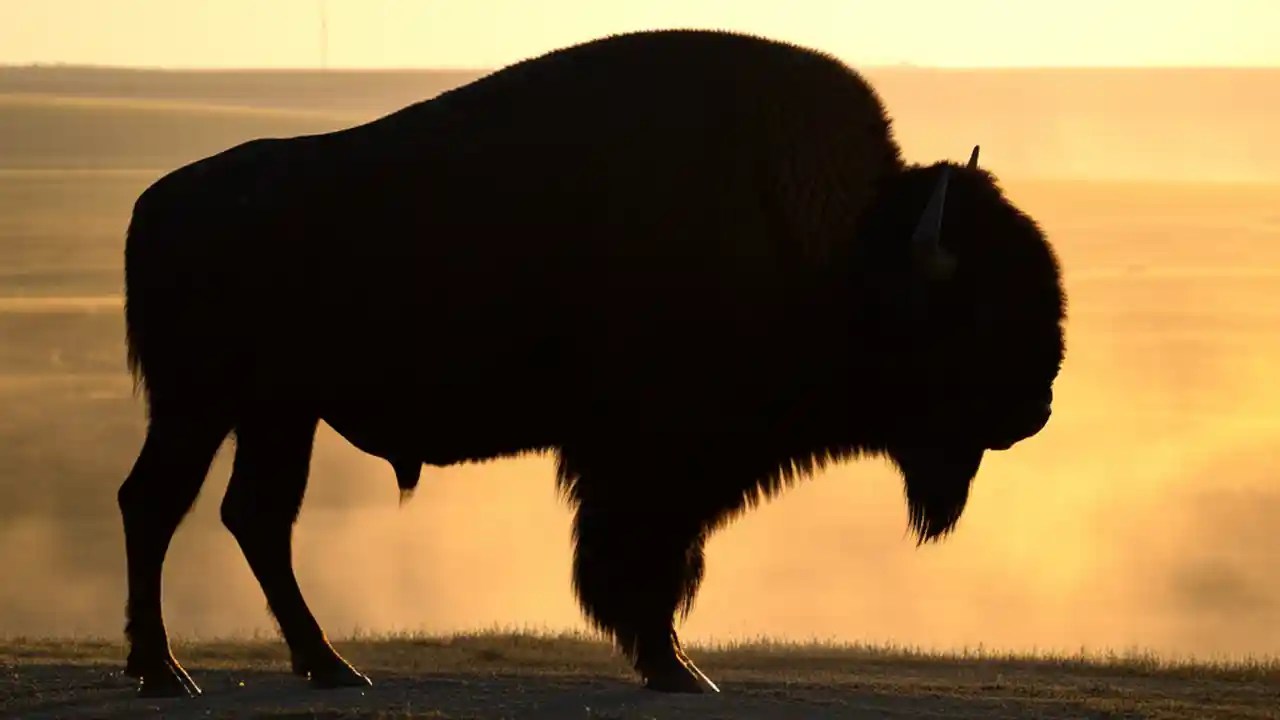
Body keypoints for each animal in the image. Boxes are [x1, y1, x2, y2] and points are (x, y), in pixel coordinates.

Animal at [116, 29, 1066, 697]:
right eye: (976, 313)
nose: (1038, 408)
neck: (843, 249)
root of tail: (157, 202)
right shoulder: (652, 462)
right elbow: (642, 559)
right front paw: (676, 669)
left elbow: (662, 561)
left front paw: (675, 663)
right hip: (201, 403)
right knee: (157, 505)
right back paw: (167, 673)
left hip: (277, 411)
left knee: (255, 517)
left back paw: (327, 666)